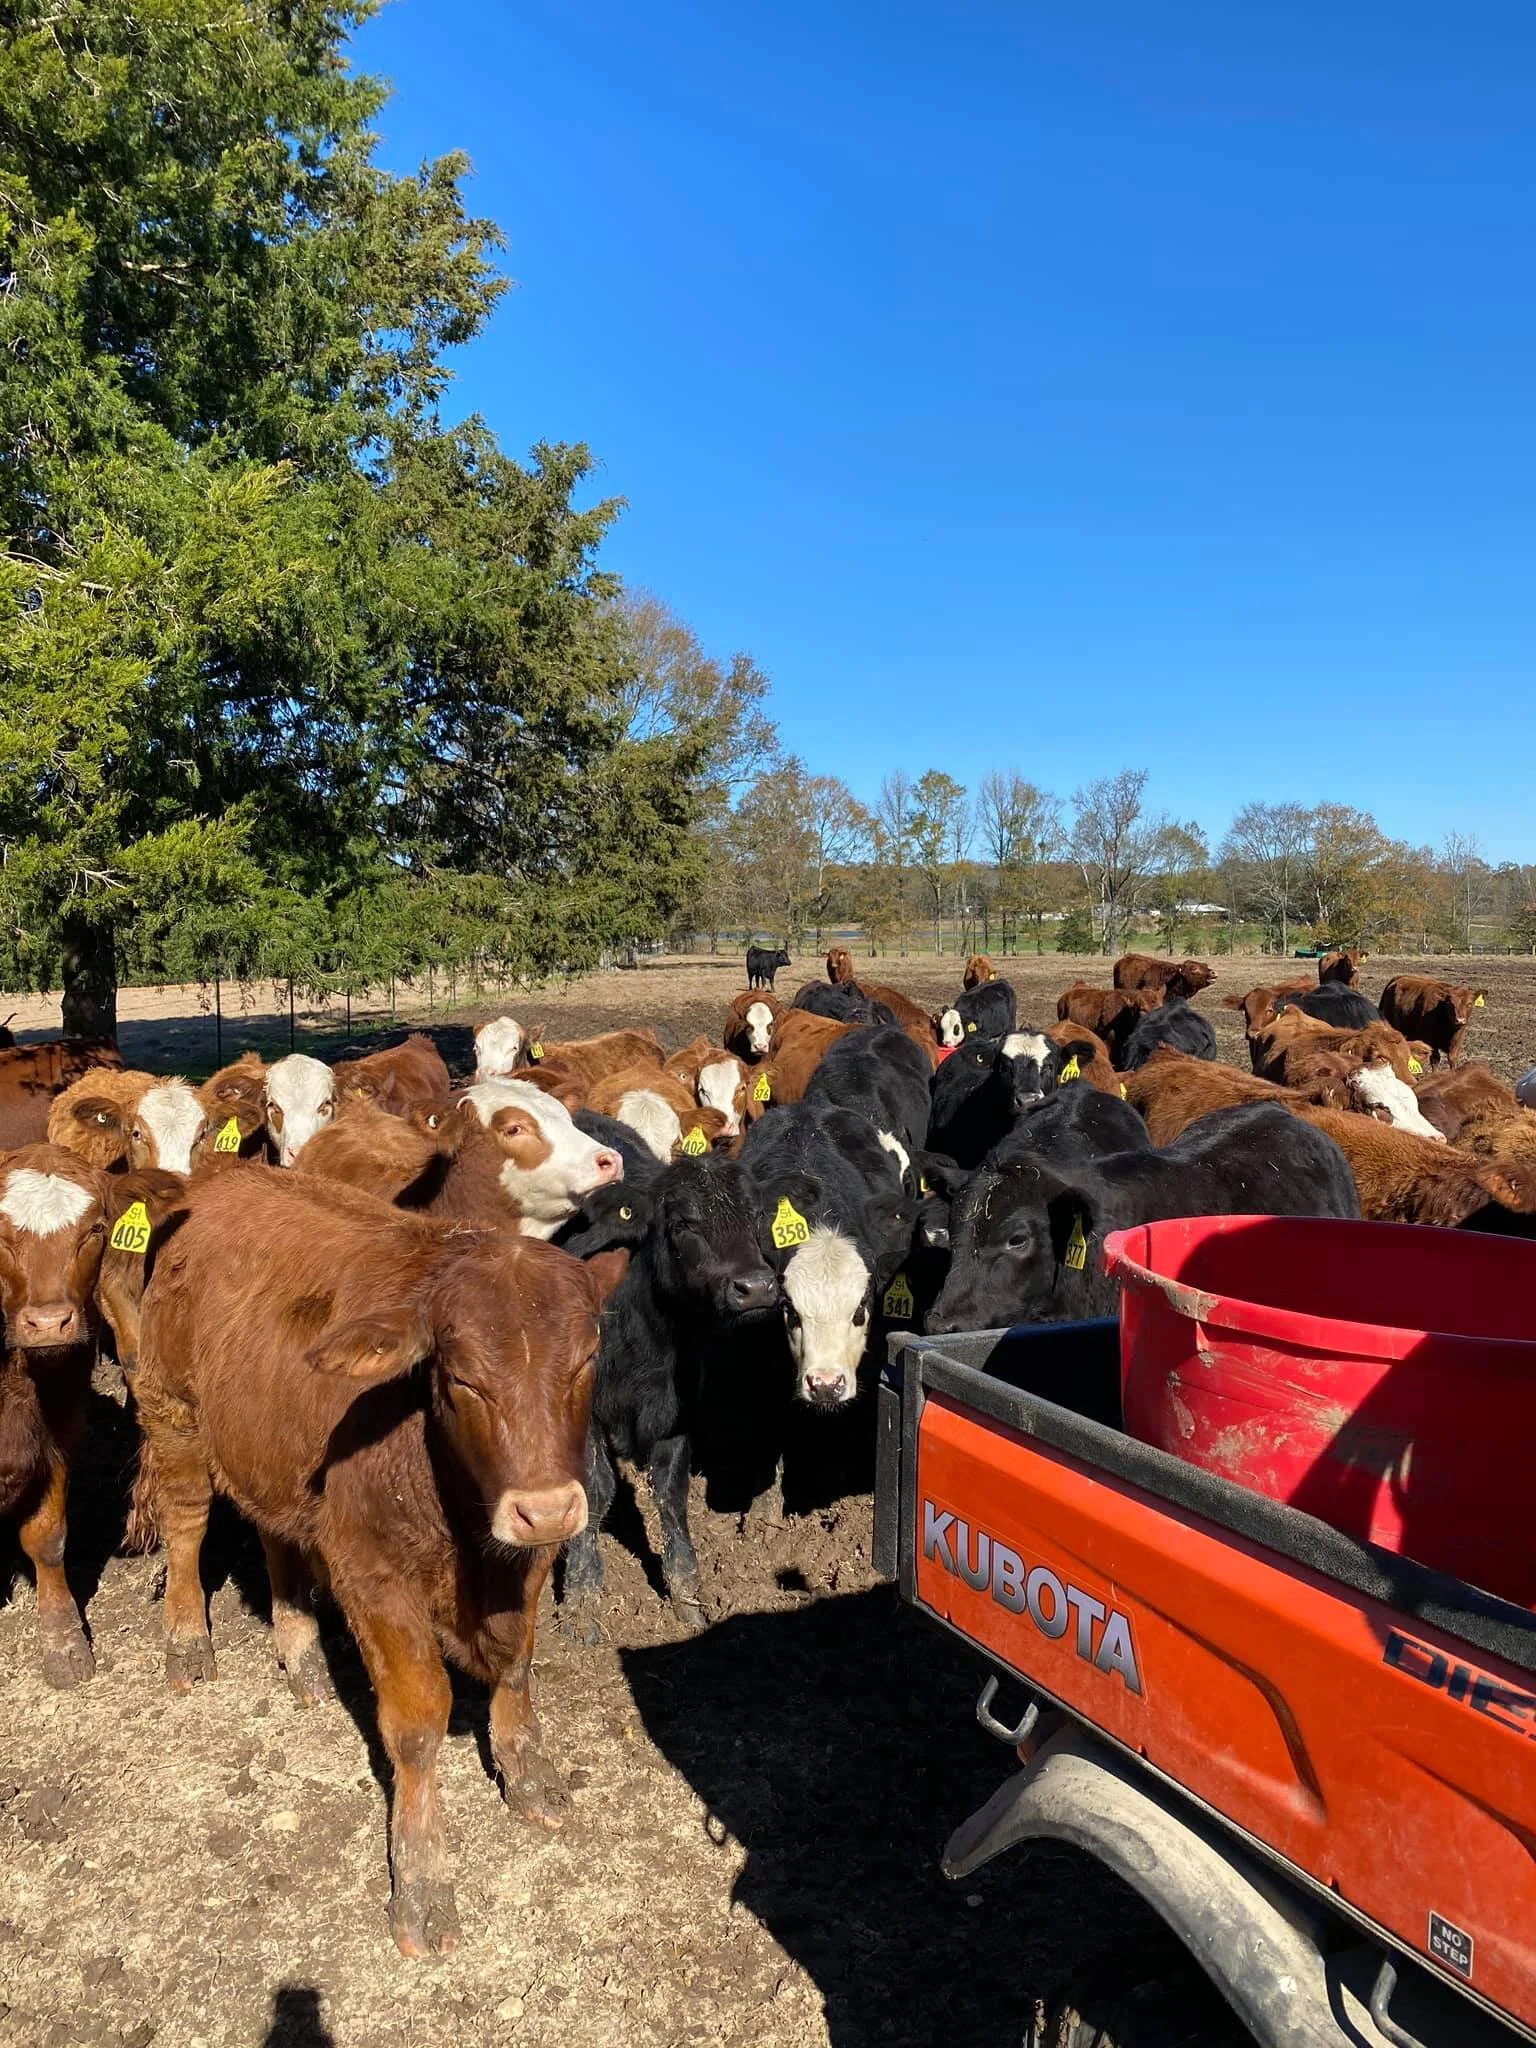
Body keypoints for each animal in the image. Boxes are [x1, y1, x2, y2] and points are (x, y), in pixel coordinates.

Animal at [131, 1166, 627, 1956]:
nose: (545, 1507)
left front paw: (529, 1771)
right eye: (462, 1379)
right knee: (186, 1521)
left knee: (277, 1537)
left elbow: (516, 1662)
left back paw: (302, 1654)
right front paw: (421, 1878)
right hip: (171, 1406)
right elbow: (419, 1722)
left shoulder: (530, 1558)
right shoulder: (373, 1575)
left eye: (585, 1361)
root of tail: (219, 1180)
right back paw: (186, 1640)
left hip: (276, 1455)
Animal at [557, 1156, 778, 1641]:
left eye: (757, 1215)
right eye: (681, 1224)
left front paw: (687, 1595)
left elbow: (671, 1495)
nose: (755, 1287)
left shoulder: (675, 1414)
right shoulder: (583, 1412)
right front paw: (581, 1598)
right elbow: (594, 1489)